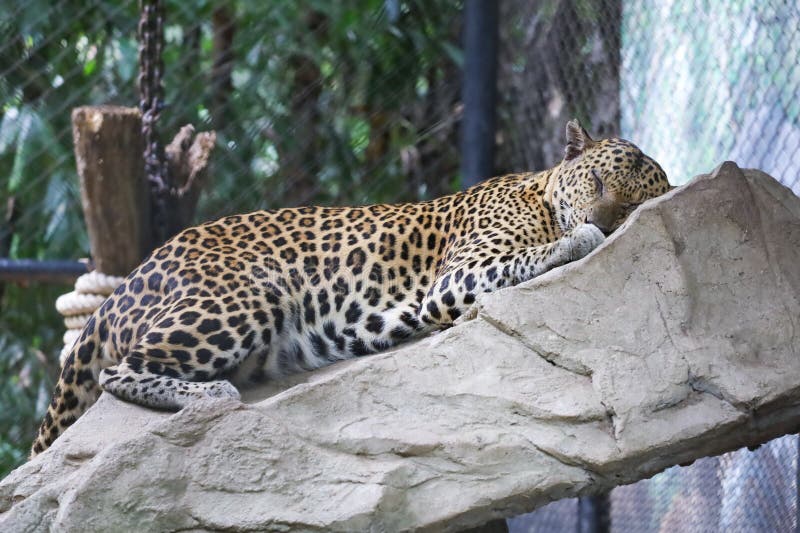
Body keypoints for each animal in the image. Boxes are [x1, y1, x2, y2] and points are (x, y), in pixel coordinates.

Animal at [31, 120, 671, 457]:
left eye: (633, 204)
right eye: (596, 181)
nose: (607, 220)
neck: (538, 189)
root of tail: (127, 281)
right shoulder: (455, 278)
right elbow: (535, 254)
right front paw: (580, 236)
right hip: (249, 293)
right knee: (117, 372)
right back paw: (209, 395)